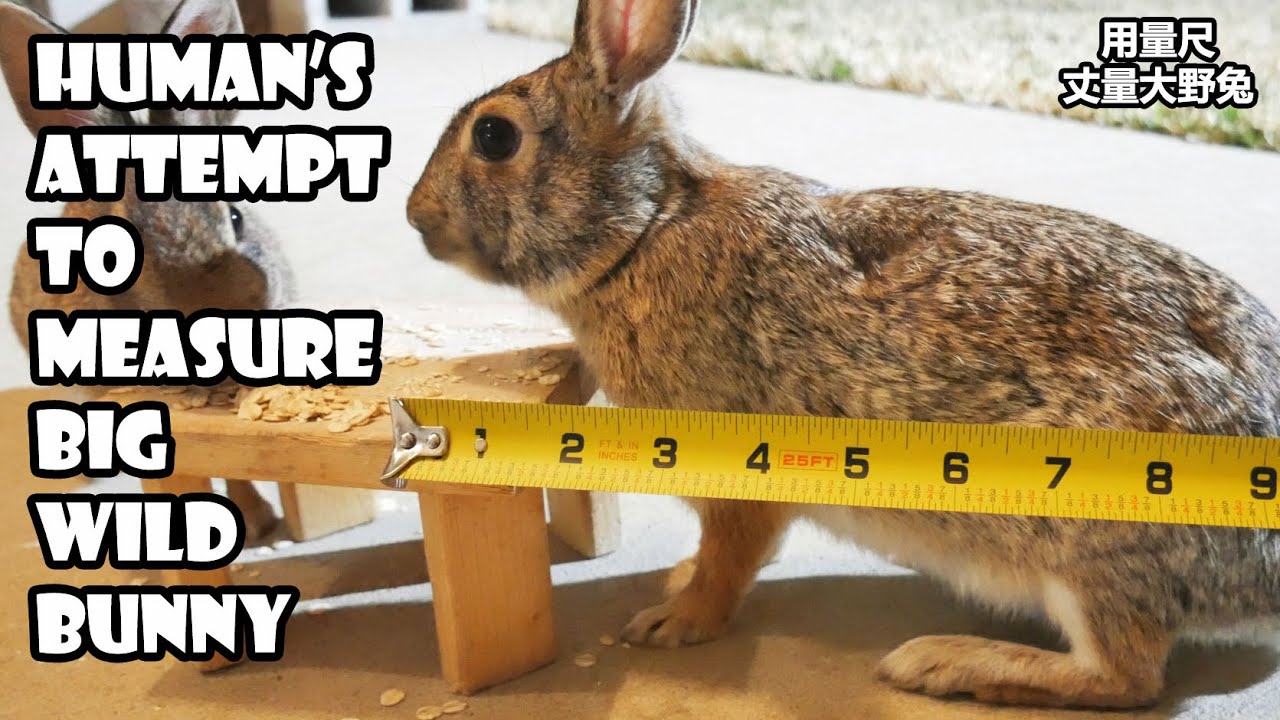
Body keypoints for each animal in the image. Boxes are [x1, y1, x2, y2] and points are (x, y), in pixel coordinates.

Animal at [406, 0, 1280, 708]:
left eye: (494, 136)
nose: (416, 218)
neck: (644, 231)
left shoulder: (738, 466)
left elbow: (731, 556)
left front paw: (672, 622)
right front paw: (677, 582)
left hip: (1085, 541)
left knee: (1125, 676)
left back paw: (944, 663)